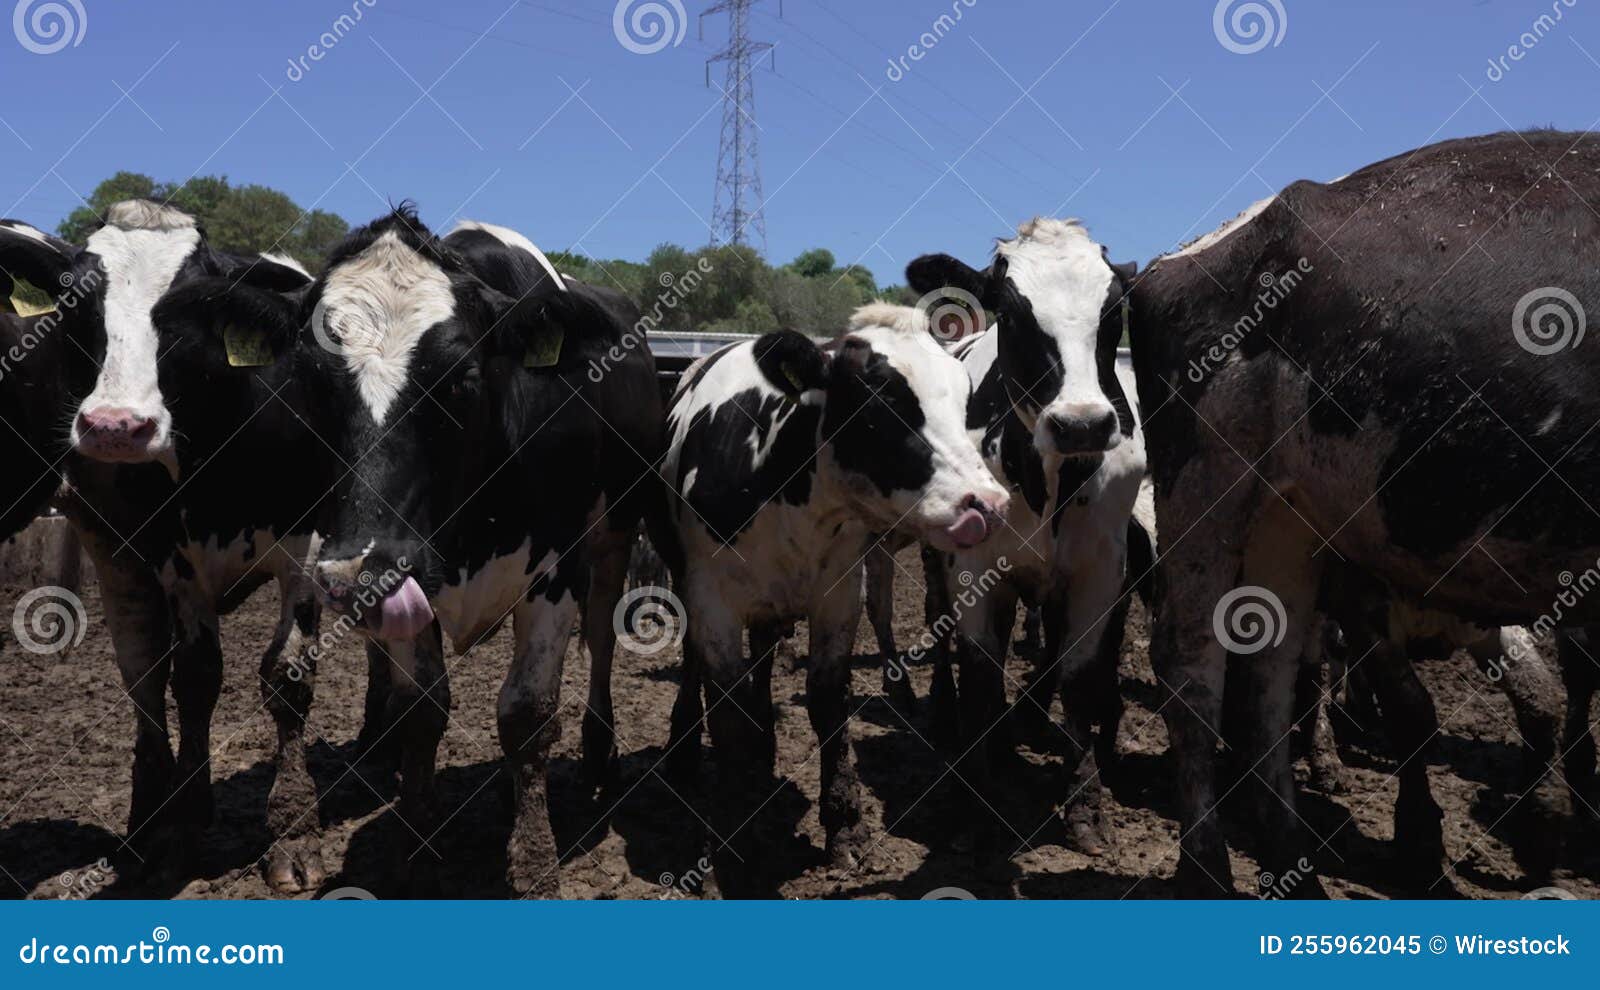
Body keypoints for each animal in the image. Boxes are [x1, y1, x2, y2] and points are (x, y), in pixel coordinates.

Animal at [0, 200, 332, 892]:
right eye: (74, 303)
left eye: (192, 309)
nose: (116, 427)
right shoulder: (173, 557)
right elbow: (194, 678)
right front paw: (180, 832)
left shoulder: (308, 545)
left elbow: (288, 676)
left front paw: (294, 832)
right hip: (115, 554)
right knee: (145, 677)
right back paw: (143, 824)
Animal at [170, 205, 662, 897]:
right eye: (312, 381)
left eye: (460, 380)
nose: (357, 562)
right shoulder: (399, 574)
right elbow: (423, 709)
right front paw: (416, 850)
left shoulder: (556, 567)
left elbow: (528, 714)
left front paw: (534, 863)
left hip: (615, 534)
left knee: (600, 640)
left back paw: (596, 759)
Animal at [658, 304, 1008, 894]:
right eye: (879, 399)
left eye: (964, 397)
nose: (986, 503)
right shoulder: (712, 603)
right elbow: (725, 712)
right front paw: (732, 848)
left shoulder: (839, 592)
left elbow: (828, 701)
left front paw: (844, 826)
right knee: (694, 669)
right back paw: (683, 750)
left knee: (765, 654)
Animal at [905, 218, 1146, 851]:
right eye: (1011, 313)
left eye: (1113, 311)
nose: (1082, 424)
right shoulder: (974, 572)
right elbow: (981, 674)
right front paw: (978, 806)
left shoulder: (1100, 570)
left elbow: (1079, 676)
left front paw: (1085, 805)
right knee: (941, 625)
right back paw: (949, 718)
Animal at [1129, 129, 1600, 896]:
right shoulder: (1370, 607)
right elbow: (1415, 712)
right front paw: (1421, 840)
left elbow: (1541, 697)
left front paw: (1544, 825)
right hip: (1205, 485)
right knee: (1191, 667)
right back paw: (1208, 869)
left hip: (1285, 516)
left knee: (1266, 675)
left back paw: (1297, 866)